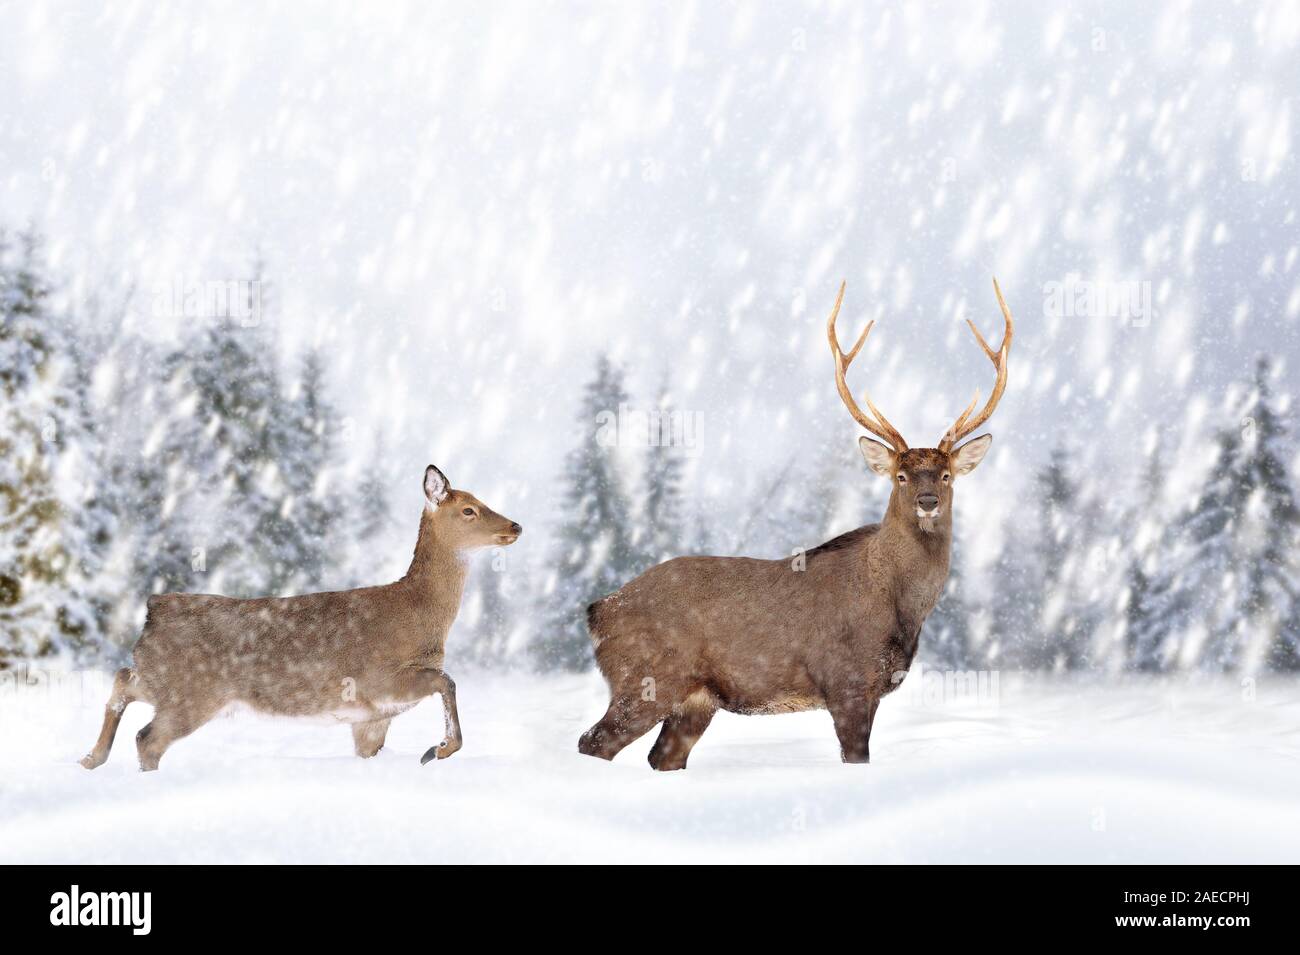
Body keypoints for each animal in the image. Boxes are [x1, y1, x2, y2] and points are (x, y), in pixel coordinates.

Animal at [81, 465, 521, 771]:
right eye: (469, 509)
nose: (515, 525)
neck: (418, 613)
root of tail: (154, 608)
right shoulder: (379, 679)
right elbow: (447, 680)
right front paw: (437, 750)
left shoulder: (370, 719)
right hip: (194, 692)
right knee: (147, 737)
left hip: (165, 680)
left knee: (123, 679)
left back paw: (90, 758)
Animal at [578, 279, 1013, 770]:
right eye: (901, 475)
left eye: (946, 474)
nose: (927, 501)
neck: (898, 603)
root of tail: (599, 611)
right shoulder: (846, 680)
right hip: (647, 678)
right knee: (593, 742)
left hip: (695, 700)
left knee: (661, 757)